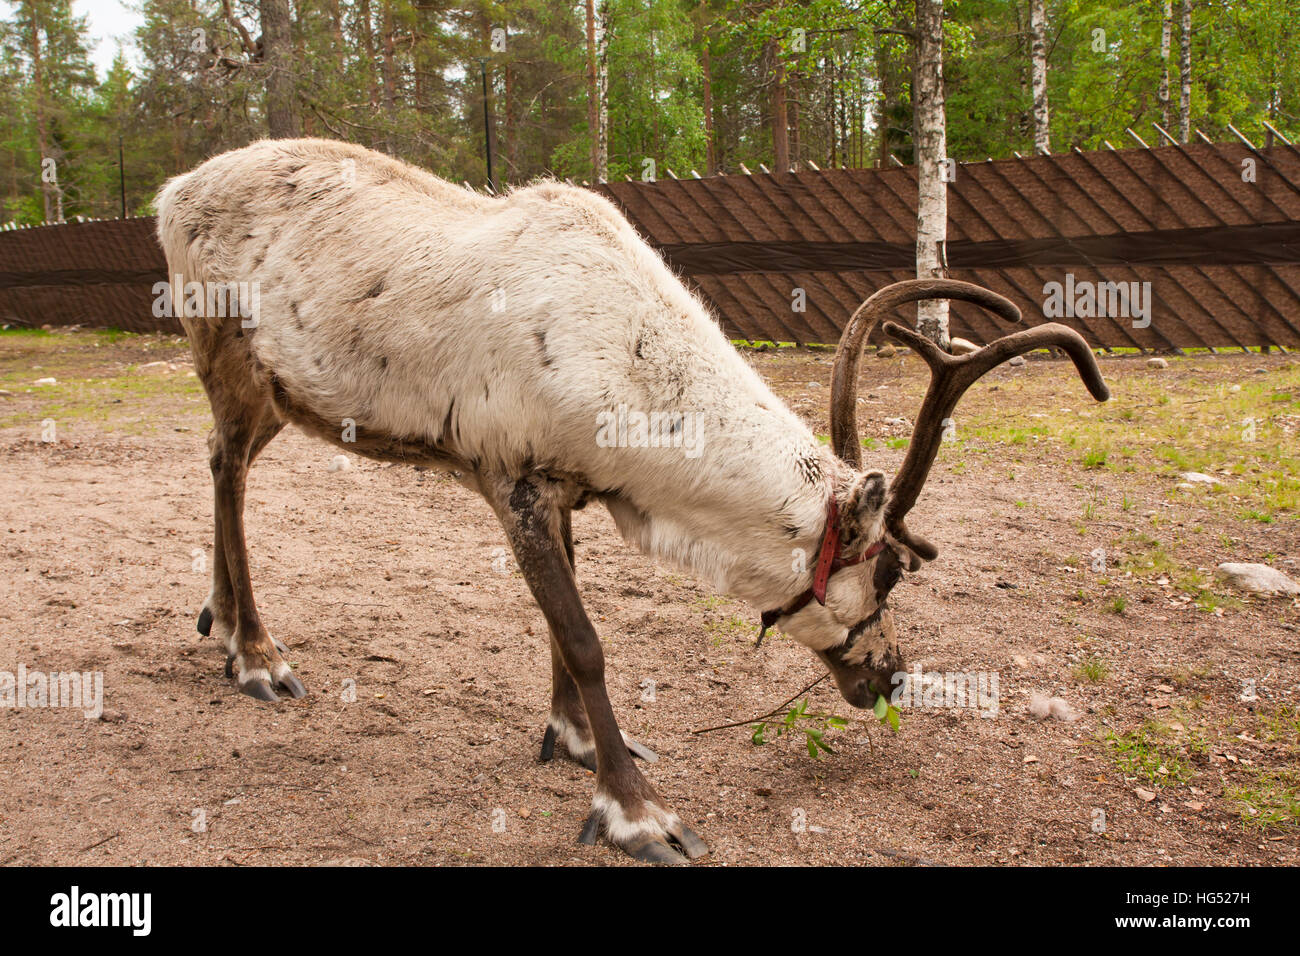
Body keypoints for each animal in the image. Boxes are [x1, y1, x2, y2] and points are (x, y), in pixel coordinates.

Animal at [156, 138, 1109, 864]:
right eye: (890, 575)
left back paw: (220, 621)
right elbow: (583, 640)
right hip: (225, 354)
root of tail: (172, 190)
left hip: (283, 395)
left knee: (218, 462)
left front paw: (573, 743)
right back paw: (257, 655)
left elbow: (561, 629)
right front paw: (636, 811)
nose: (892, 675)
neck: (631, 364)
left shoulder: (566, 488)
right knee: (227, 469)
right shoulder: (510, 480)